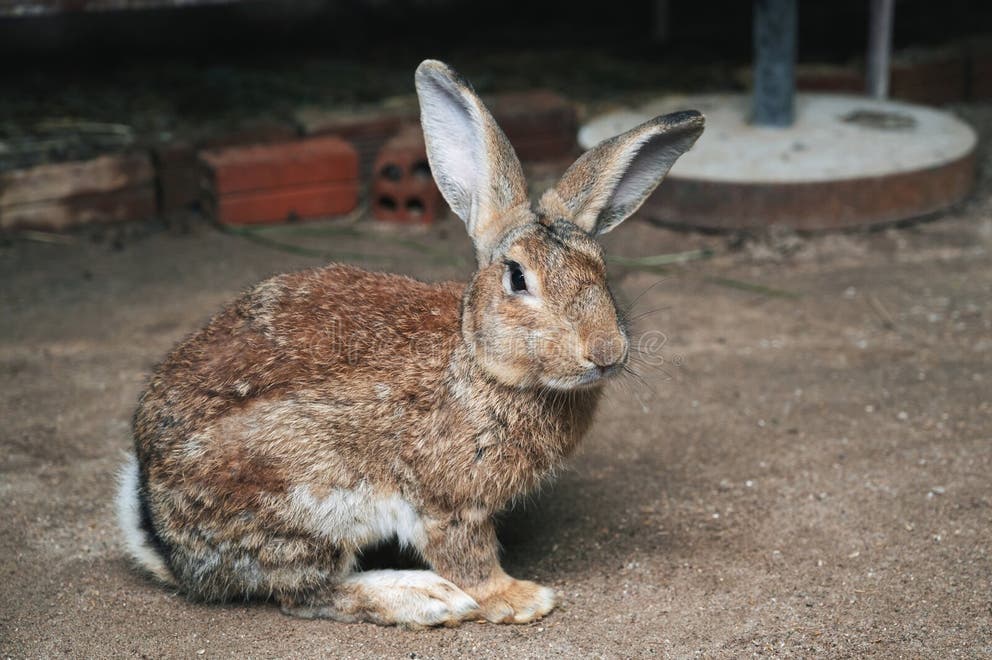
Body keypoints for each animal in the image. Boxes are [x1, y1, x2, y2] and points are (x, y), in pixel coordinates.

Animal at [116, 59, 704, 628]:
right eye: (517, 278)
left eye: (602, 271)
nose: (605, 353)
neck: (475, 357)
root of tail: (165, 537)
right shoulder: (446, 499)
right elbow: (466, 555)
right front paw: (518, 600)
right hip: (303, 493)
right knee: (305, 592)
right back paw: (422, 599)